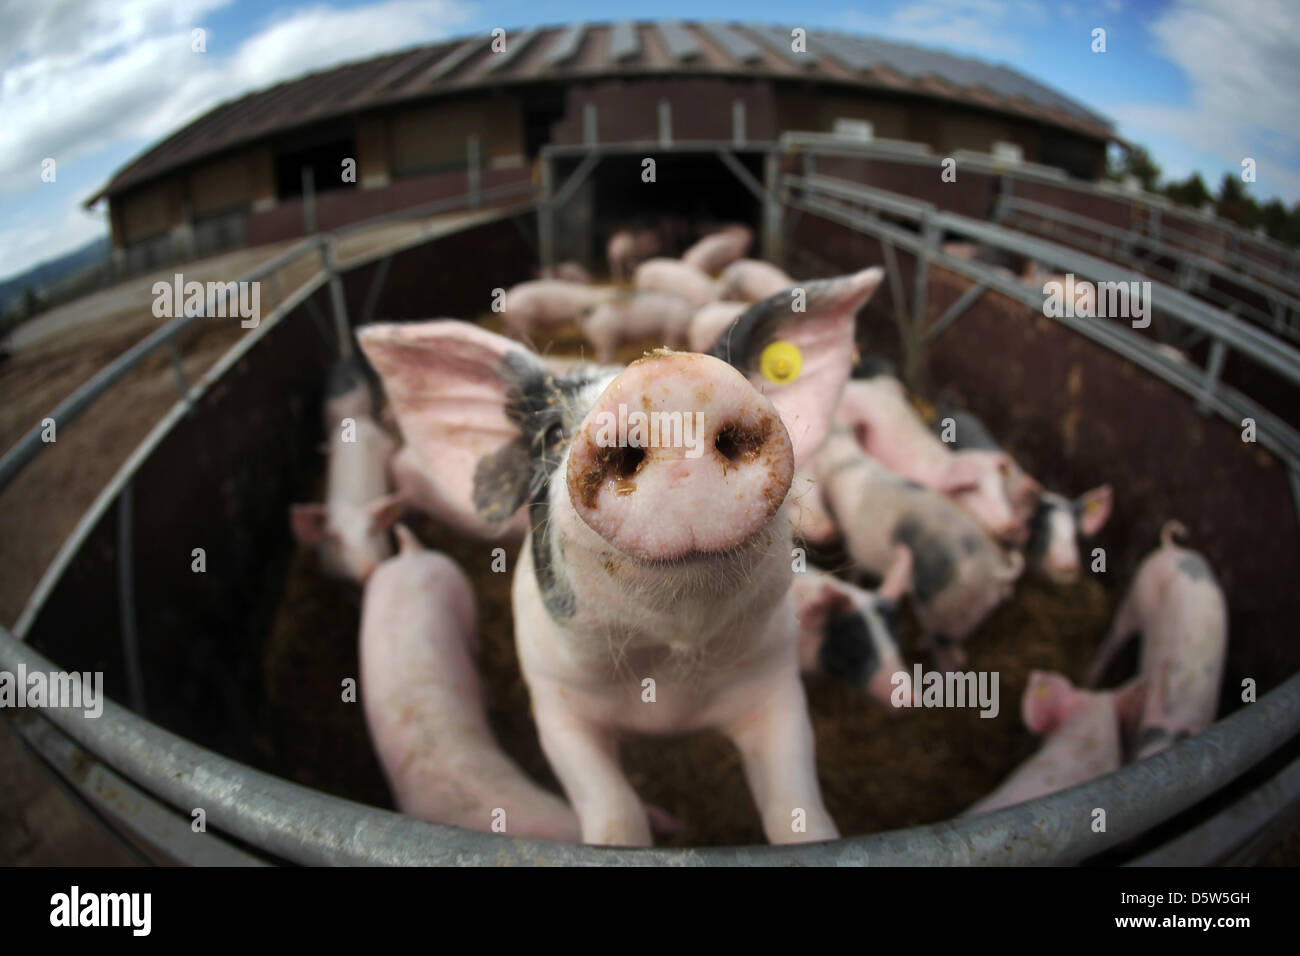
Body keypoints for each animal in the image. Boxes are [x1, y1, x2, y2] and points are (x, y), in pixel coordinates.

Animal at [812, 424, 1023, 669]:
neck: (846, 462)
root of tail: (997, 572)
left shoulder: (857, 548)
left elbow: (855, 573)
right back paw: (923, 644)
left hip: (946, 614)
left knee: (951, 658)